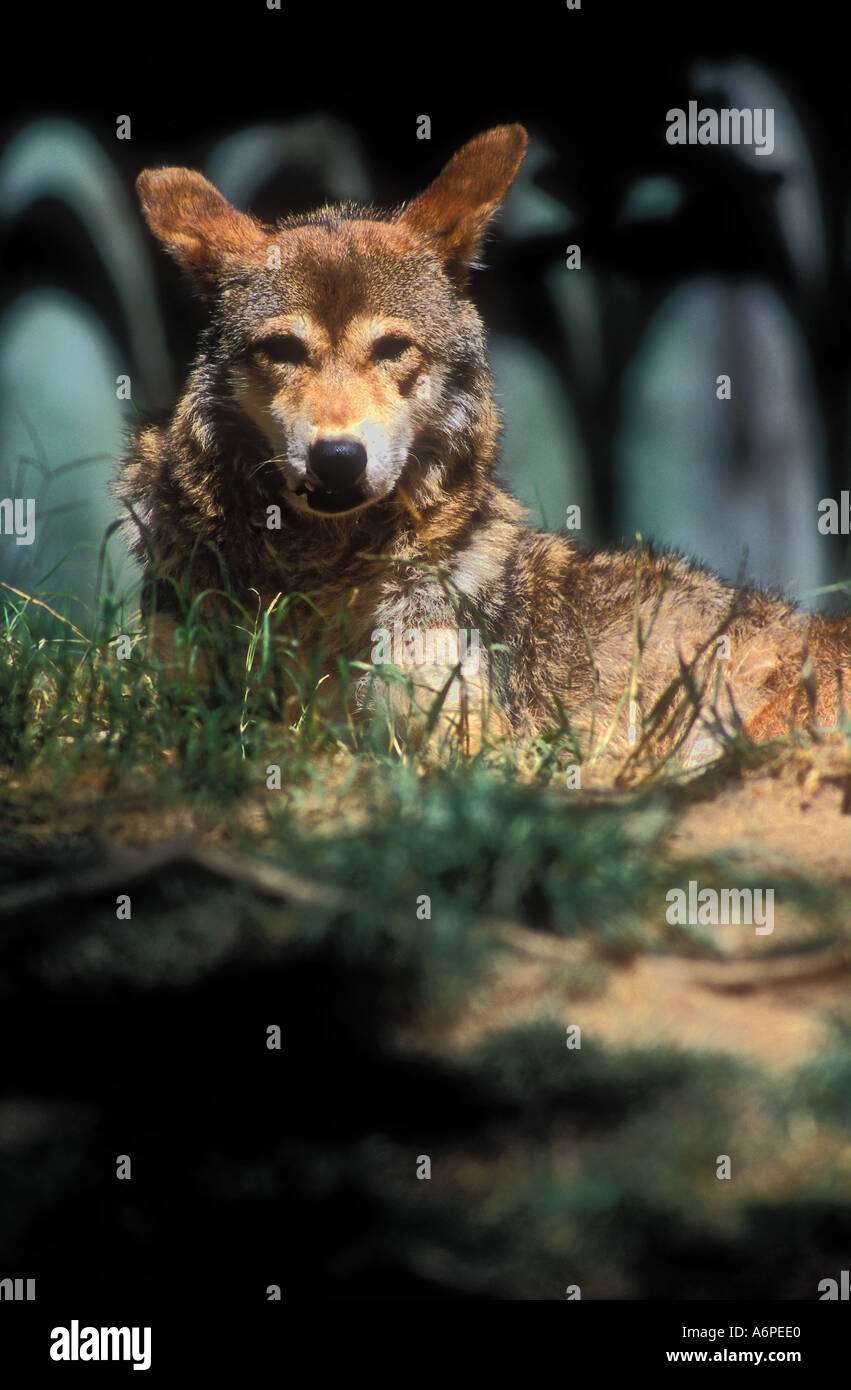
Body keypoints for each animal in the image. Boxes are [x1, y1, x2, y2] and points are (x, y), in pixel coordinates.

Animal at [118, 124, 850, 768]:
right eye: (283, 350)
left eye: (392, 349)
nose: (338, 458)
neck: (320, 577)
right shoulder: (166, 709)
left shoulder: (478, 740)